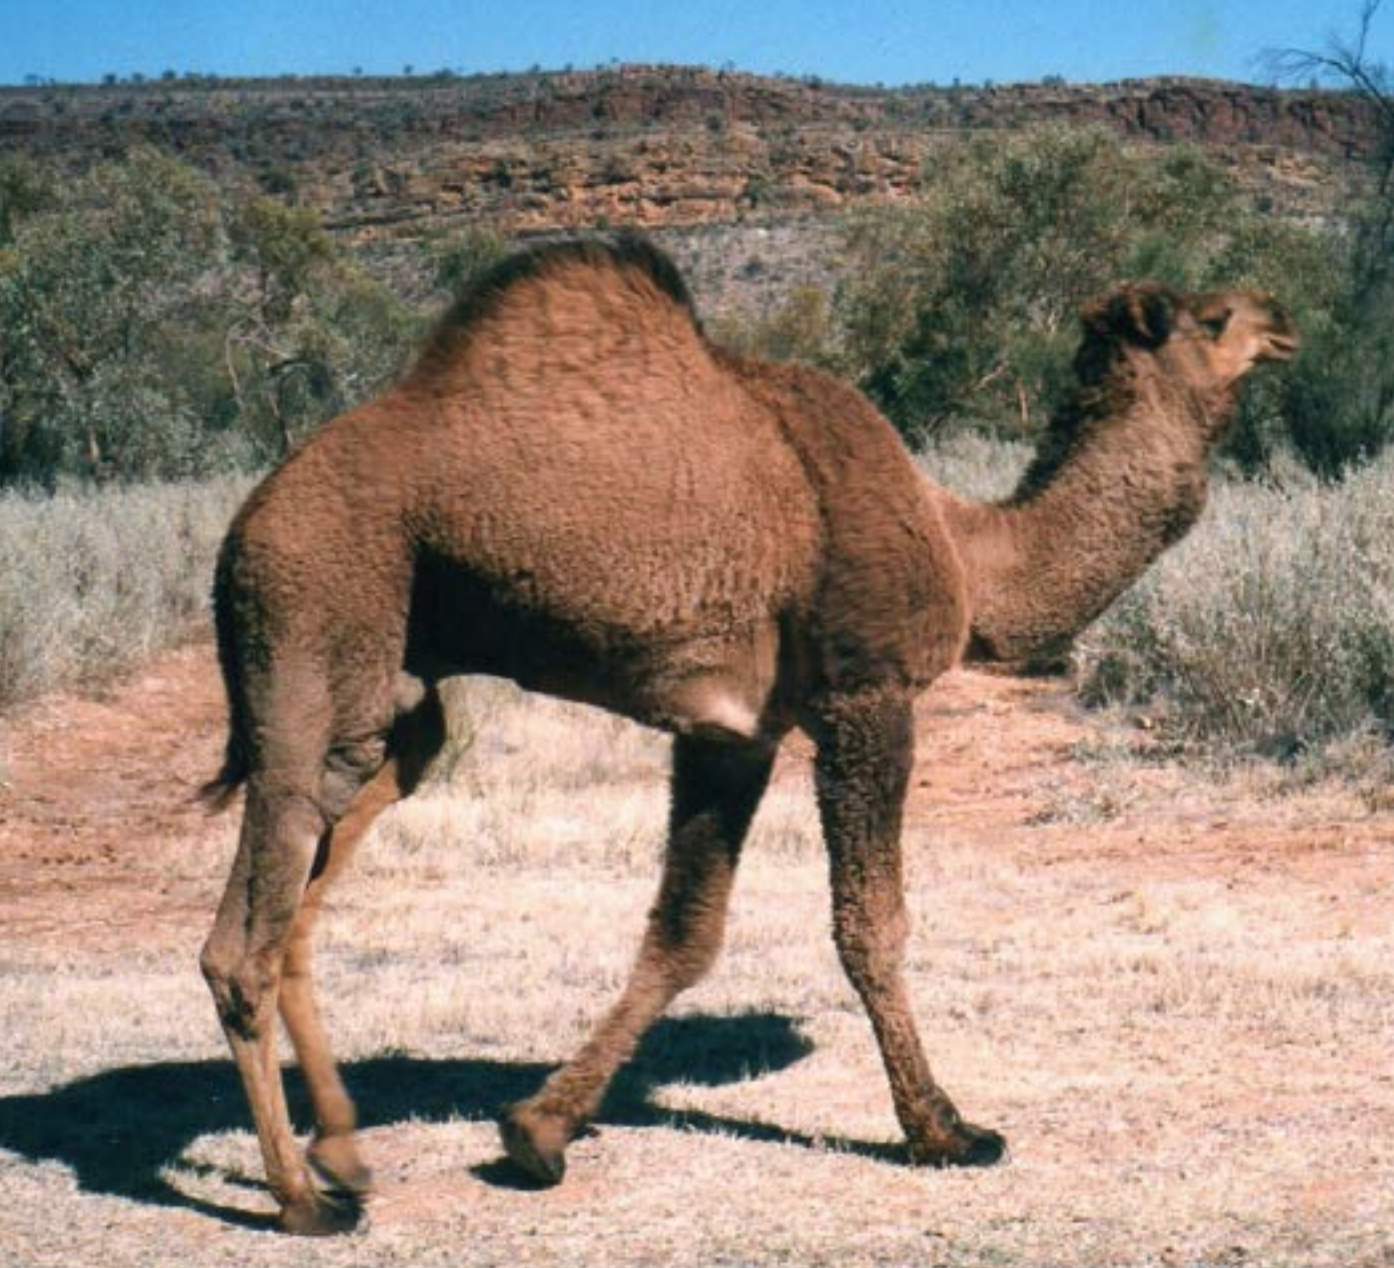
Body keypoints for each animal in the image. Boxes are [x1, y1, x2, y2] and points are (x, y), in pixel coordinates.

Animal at [198, 233, 1298, 1234]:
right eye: (1210, 319)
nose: (1279, 313)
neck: (965, 545)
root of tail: (241, 524)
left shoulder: (731, 735)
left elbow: (683, 934)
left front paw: (537, 1130)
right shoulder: (866, 695)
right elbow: (871, 924)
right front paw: (944, 1129)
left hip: (396, 709)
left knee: (301, 904)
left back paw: (343, 1151)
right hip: (313, 617)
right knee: (240, 939)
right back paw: (301, 1199)